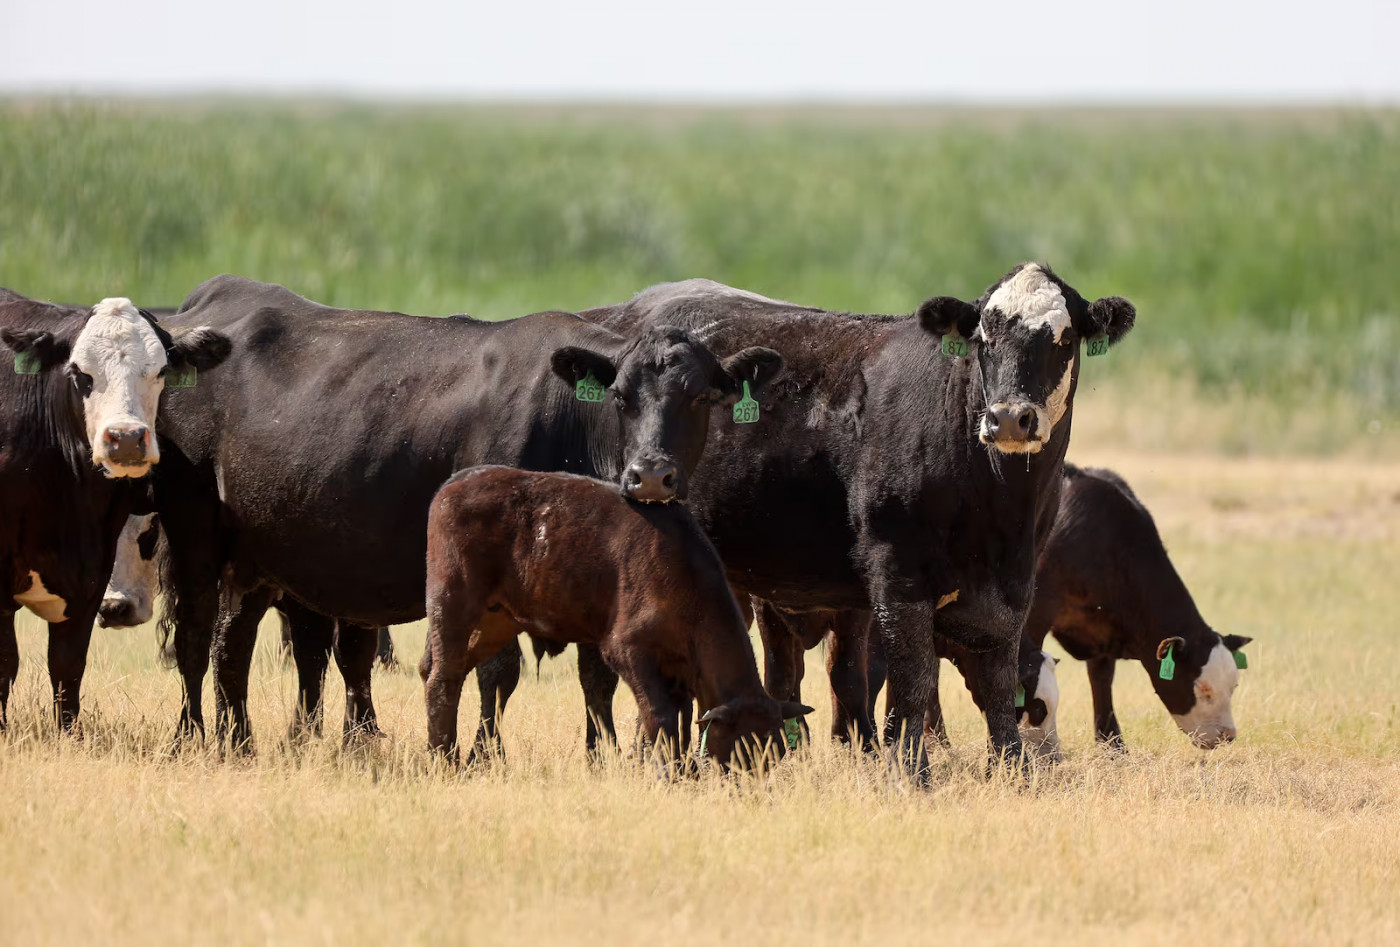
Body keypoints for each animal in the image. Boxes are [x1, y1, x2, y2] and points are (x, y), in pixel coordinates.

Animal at [0, 291, 230, 729]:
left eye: (160, 370)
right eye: (80, 373)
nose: (125, 438)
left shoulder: (90, 583)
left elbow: (67, 670)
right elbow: (6, 668)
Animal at [150, 275, 783, 750]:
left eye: (701, 396)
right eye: (620, 396)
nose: (650, 474)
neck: (572, 427)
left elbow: (596, 676)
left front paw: (599, 754)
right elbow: (499, 674)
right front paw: (485, 753)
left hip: (255, 557)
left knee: (232, 648)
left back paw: (239, 741)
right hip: (193, 536)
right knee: (195, 638)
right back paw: (189, 736)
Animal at [423, 466, 813, 768]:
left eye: (776, 754)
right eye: (742, 752)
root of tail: (458, 481)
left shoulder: (680, 671)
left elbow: (682, 720)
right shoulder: (627, 650)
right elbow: (659, 715)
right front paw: (666, 771)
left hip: (496, 622)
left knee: (453, 672)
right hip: (452, 606)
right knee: (441, 680)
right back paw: (443, 757)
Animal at [580, 264, 1136, 775]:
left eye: (1064, 339)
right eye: (983, 340)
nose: (1008, 419)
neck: (995, 499)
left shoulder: (1016, 581)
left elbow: (996, 682)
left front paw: (1012, 767)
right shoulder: (897, 575)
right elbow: (912, 681)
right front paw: (909, 772)